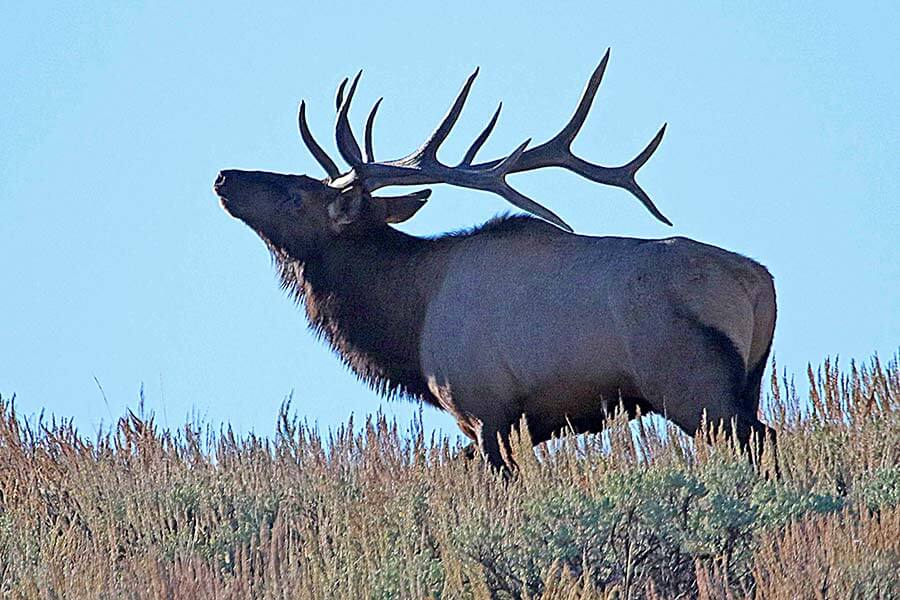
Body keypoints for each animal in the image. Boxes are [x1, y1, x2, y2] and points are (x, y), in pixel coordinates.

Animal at [213, 50, 777, 469]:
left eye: (297, 195)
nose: (224, 177)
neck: (407, 322)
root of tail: (759, 283)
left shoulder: (483, 407)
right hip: (746, 382)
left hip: (691, 382)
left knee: (757, 440)